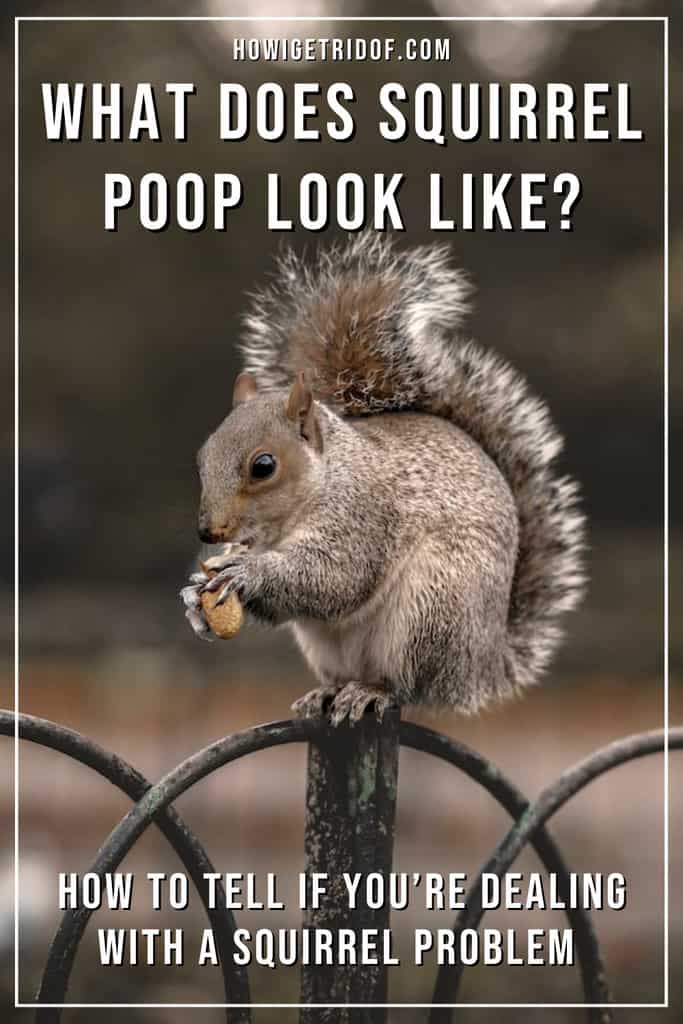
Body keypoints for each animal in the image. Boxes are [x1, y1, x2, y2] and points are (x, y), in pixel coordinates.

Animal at [181, 233, 585, 725]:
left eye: (263, 466)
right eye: (201, 458)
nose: (208, 531)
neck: (323, 480)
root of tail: (483, 666)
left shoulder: (363, 515)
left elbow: (333, 577)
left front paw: (245, 572)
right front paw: (195, 595)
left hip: (432, 610)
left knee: (408, 685)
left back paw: (372, 692)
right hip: (333, 645)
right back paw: (327, 693)